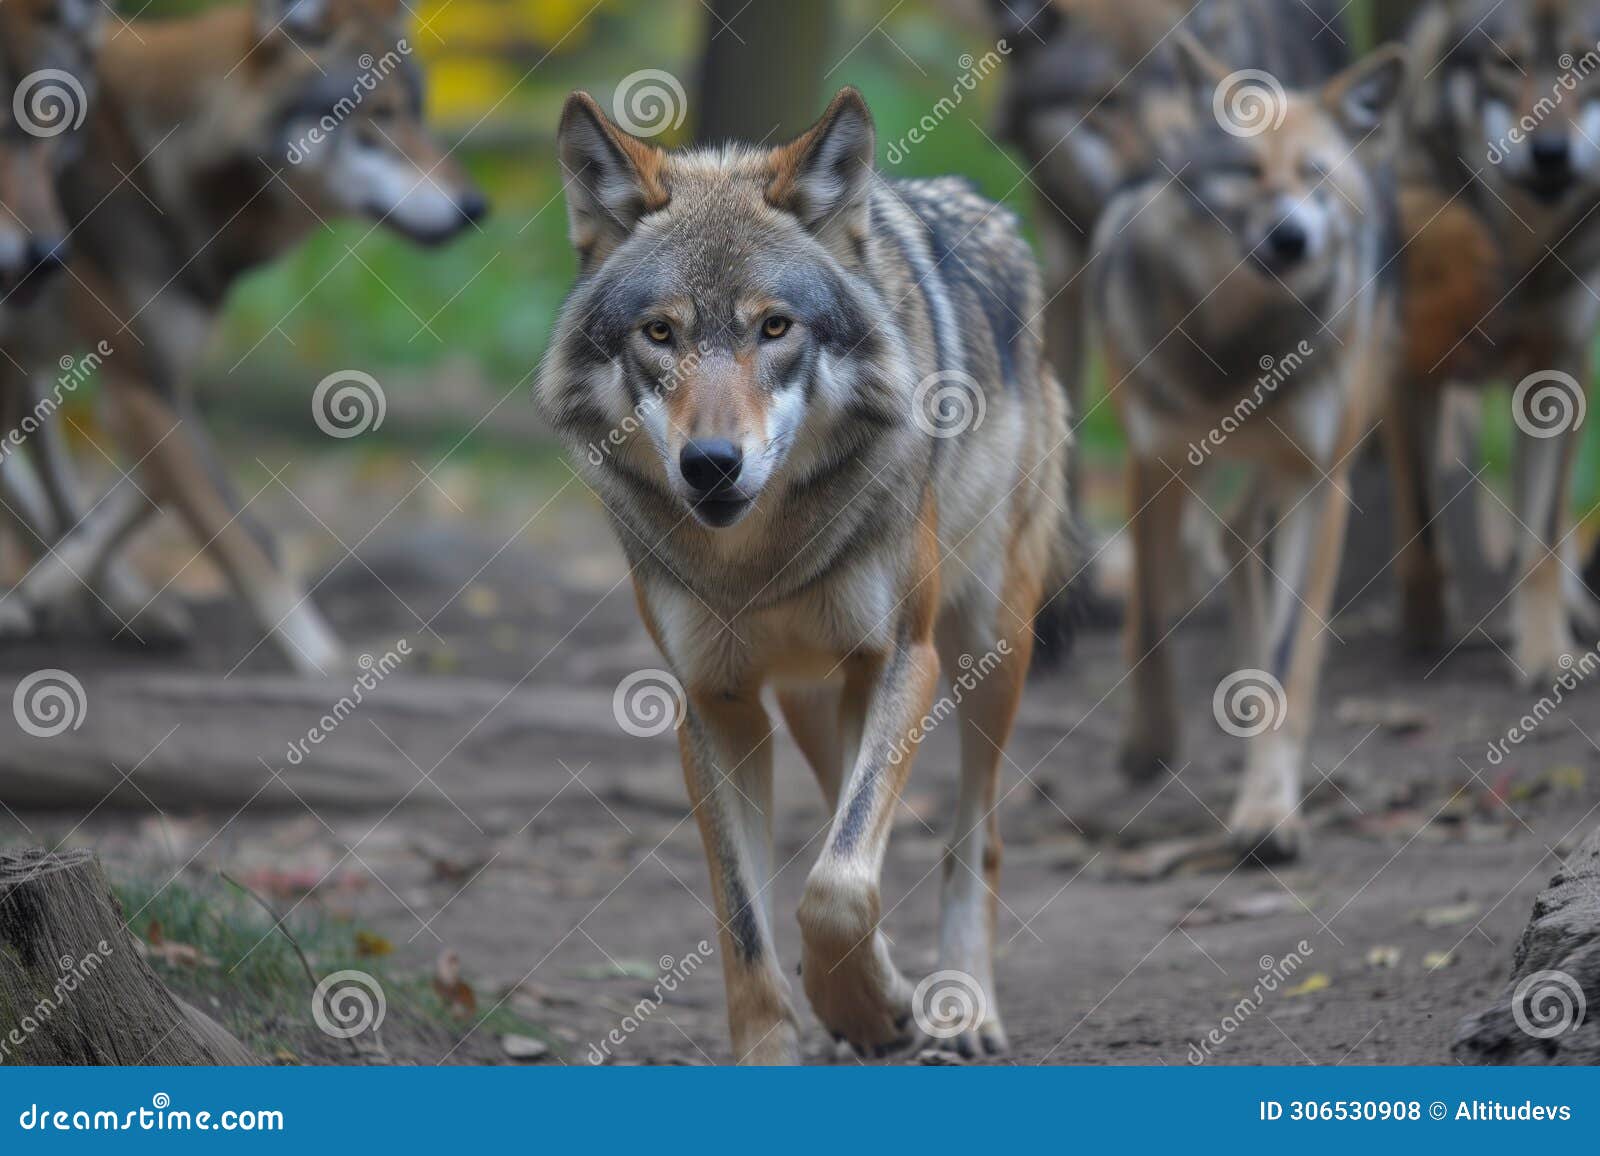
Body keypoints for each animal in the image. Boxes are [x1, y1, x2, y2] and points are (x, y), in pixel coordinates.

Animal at [1, 0, 486, 667]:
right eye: (380, 114)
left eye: (419, 113)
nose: (476, 207)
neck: (155, 163)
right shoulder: (136, 382)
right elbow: (244, 539)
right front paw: (325, 665)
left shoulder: (158, 382)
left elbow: (139, 496)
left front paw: (53, 589)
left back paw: (110, 607)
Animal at [538, 88, 1072, 1062]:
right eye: (660, 333)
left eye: (774, 327)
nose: (711, 465)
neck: (758, 562)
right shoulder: (715, 702)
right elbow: (751, 922)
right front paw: (797, 1035)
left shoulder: (903, 659)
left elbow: (836, 886)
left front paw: (863, 1007)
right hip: (814, 699)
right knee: (842, 822)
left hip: (988, 649)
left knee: (972, 839)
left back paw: (963, 1003)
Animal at [1091, 38, 1406, 862]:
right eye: (1247, 171)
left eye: (1315, 175)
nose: (1292, 238)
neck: (1238, 349)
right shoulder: (1154, 461)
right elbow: (1149, 614)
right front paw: (1150, 743)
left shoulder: (1318, 484)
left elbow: (1292, 658)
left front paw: (1268, 813)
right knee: (1213, 556)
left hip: (1277, 474)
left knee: (1239, 547)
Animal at [1390, 0, 1600, 684]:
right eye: (1507, 64)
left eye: (1587, 62)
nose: (1552, 153)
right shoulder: (1407, 371)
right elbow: (1422, 530)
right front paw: (1424, 629)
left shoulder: (1557, 371)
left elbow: (1540, 545)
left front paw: (1544, 655)